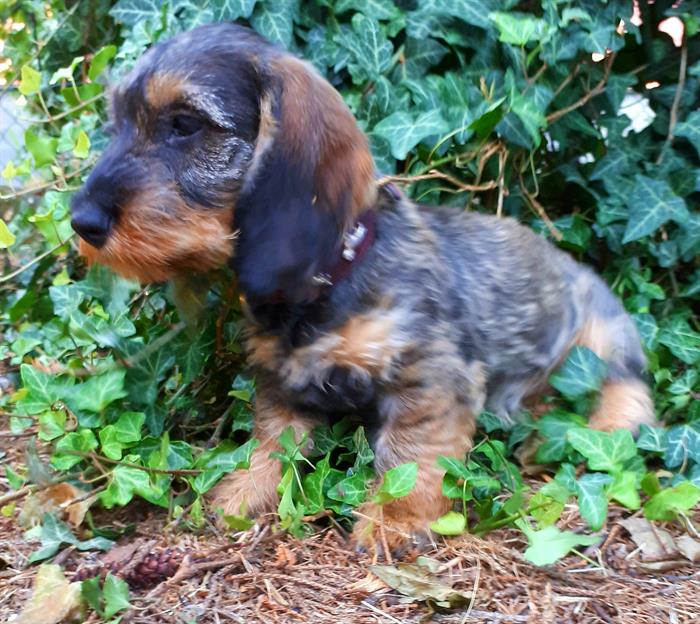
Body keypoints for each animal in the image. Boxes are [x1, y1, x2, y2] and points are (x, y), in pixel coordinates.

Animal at [72, 23, 656, 552]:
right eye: (116, 125)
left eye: (185, 124)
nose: (81, 222)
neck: (325, 284)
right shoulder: (280, 381)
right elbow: (274, 440)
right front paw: (246, 490)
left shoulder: (432, 373)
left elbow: (410, 449)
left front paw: (395, 515)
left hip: (603, 337)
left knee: (627, 393)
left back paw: (589, 432)